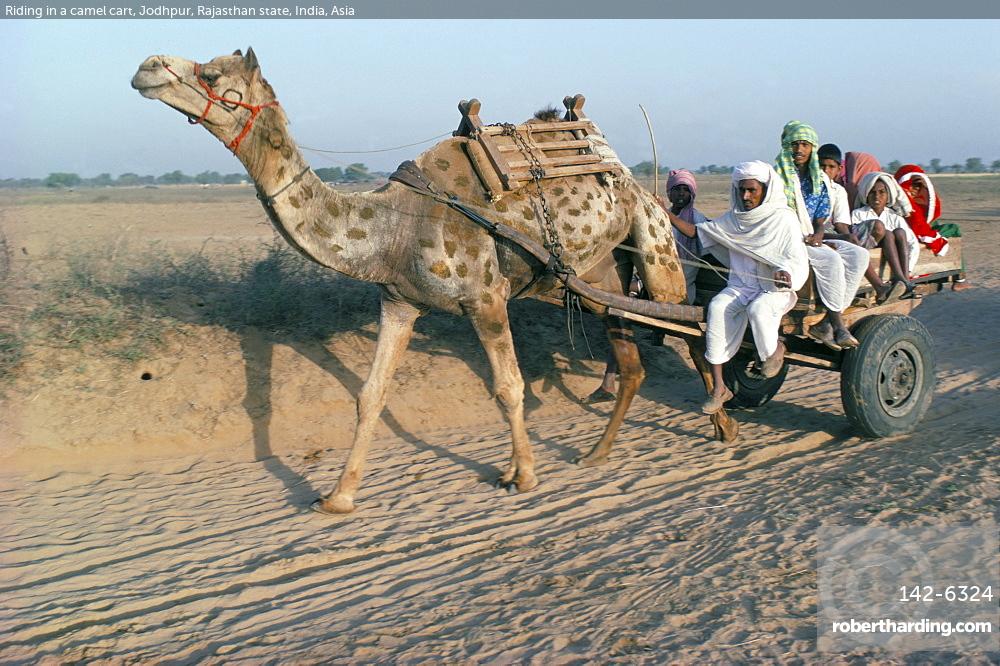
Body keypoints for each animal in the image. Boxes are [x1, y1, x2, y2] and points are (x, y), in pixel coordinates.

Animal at [131, 48, 739, 514]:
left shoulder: (486, 298)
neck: (390, 230)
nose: (146, 67)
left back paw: (723, 423)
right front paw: (338, 497)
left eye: (212, 75)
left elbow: (508, 386)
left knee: (688, 325)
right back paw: (598, 453)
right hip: (597, 276)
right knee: (632, 358)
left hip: (655, 243)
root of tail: (632, 179)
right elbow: (370, 394)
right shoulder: (399, 302)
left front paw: (523, 475)